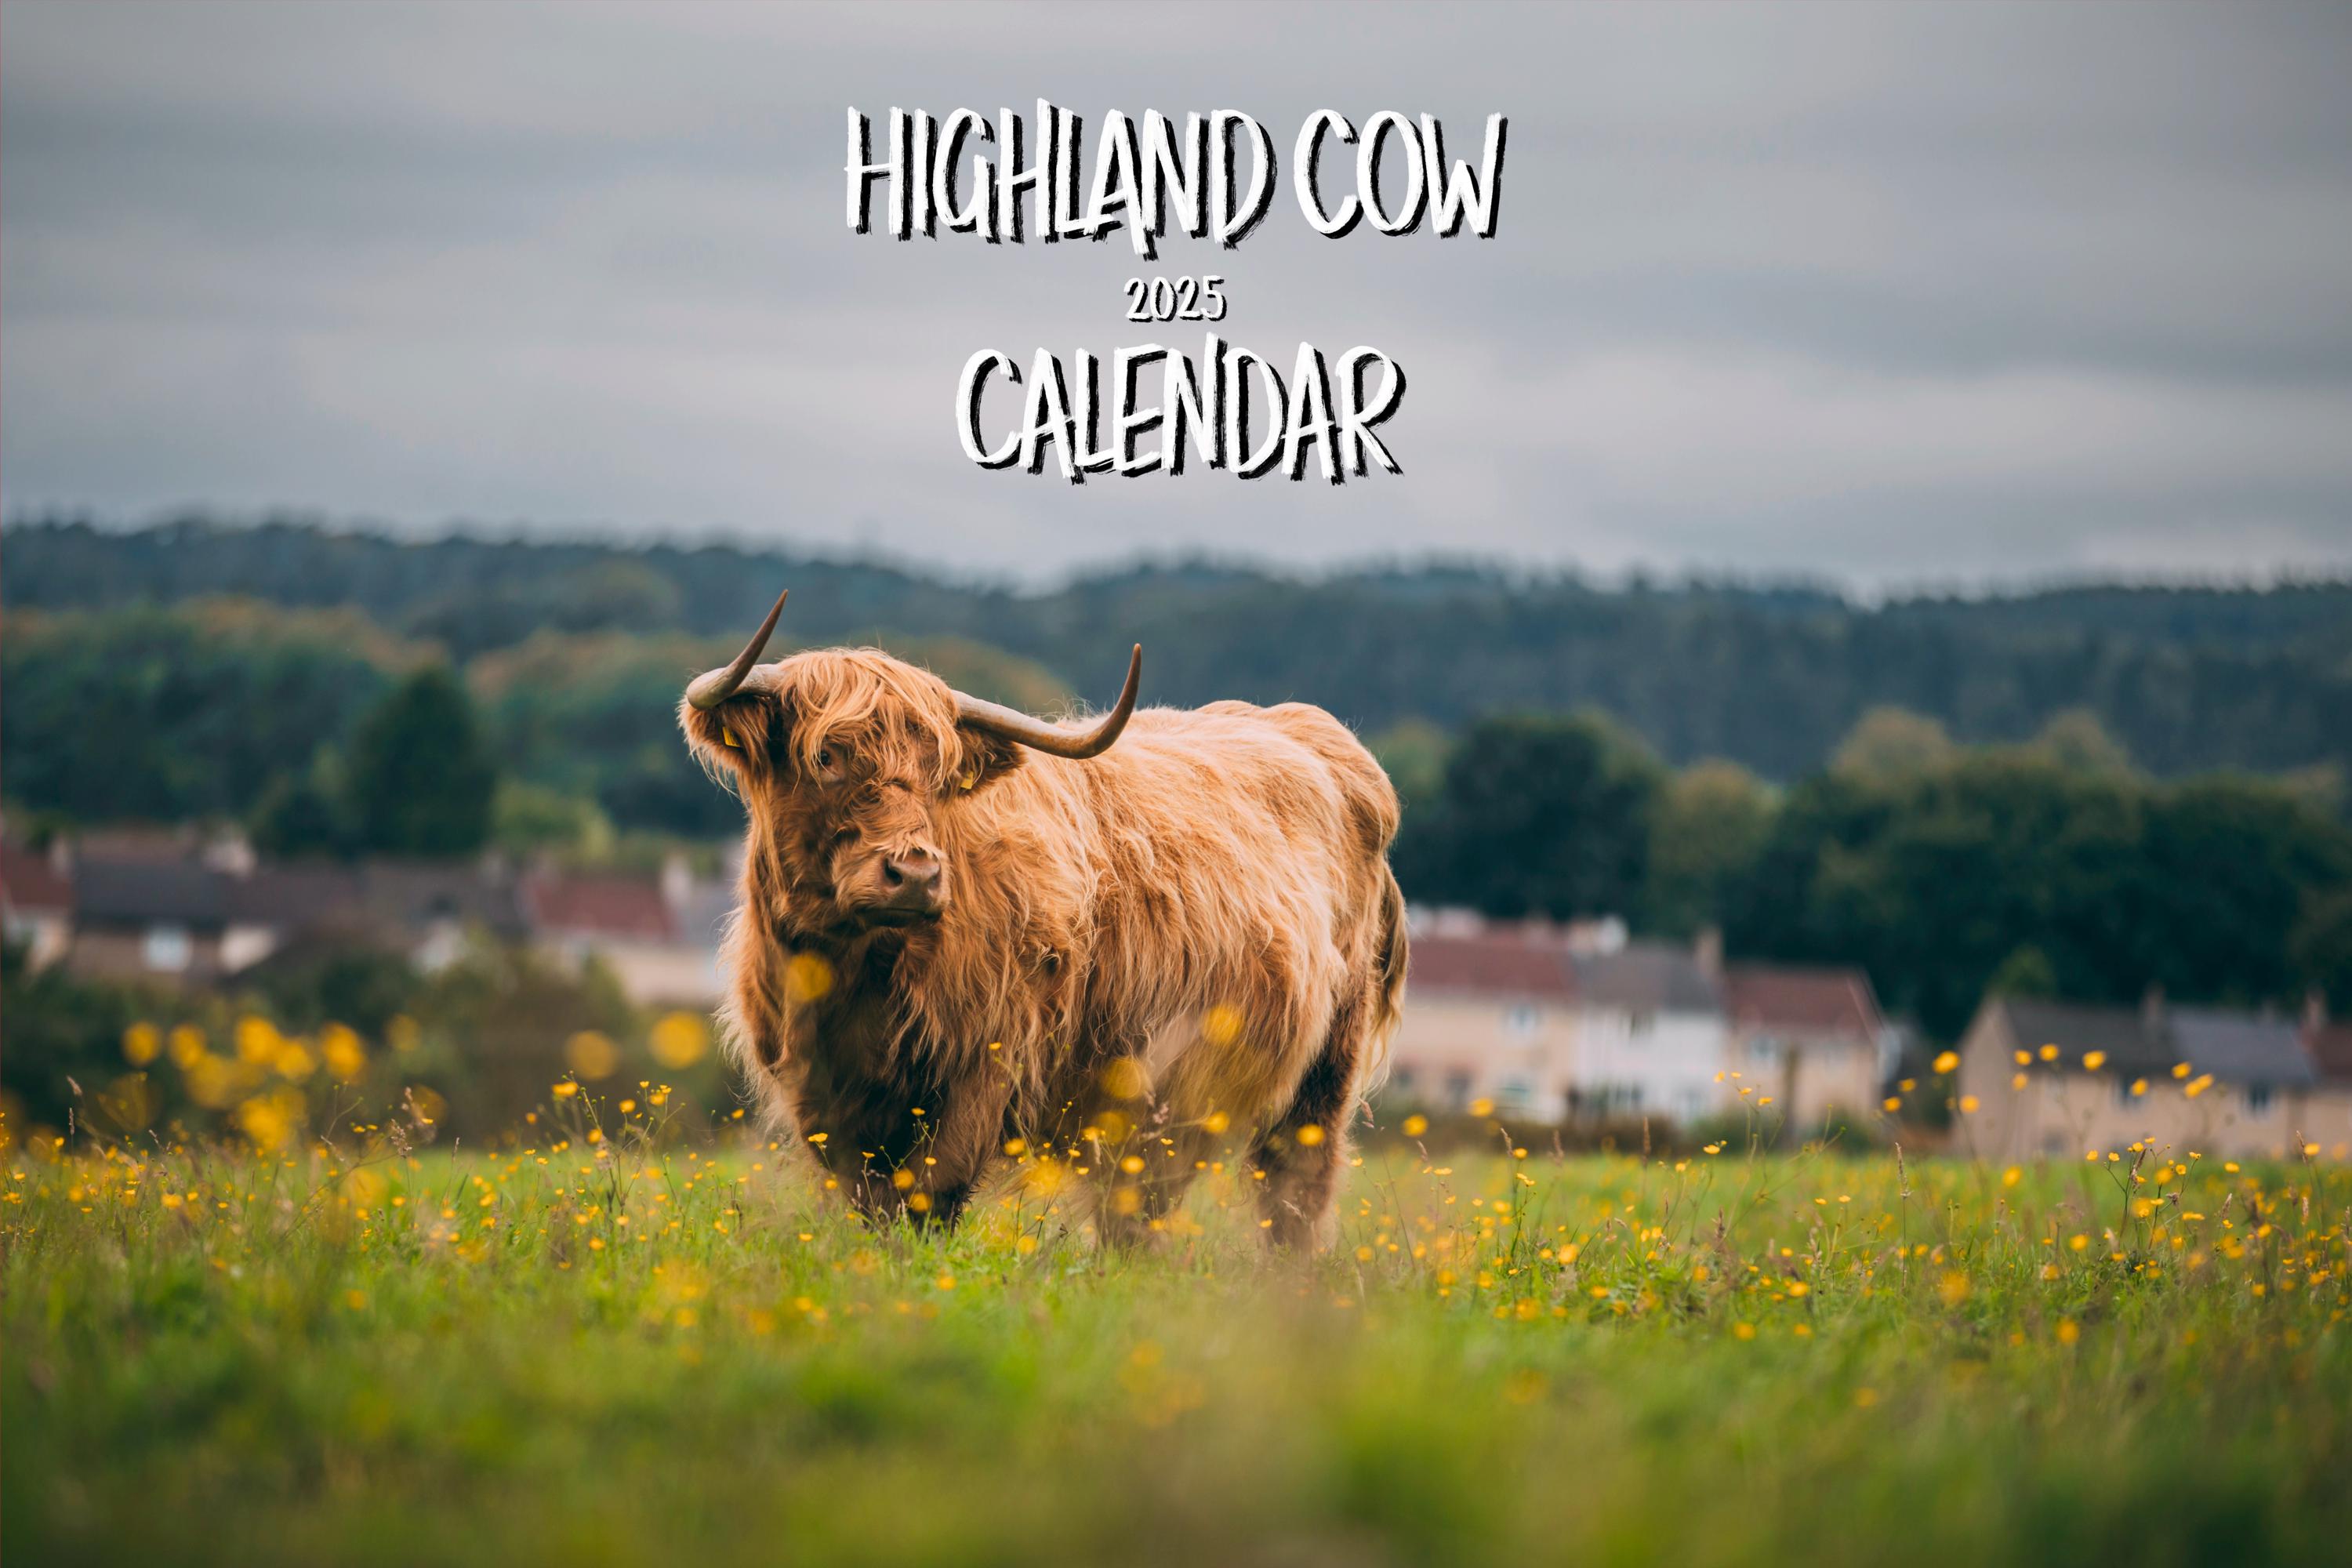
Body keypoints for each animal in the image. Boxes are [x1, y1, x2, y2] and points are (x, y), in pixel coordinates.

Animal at [677, 588, 1406, 1249]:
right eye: (825, 757)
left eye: (940, 772)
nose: (915, 874)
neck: (862, 971)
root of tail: (1309, 729)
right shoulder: (819, 1090)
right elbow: (873, 1206)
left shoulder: (990, 1062)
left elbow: (932, 1195)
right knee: (1137, 1207)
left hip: (1323, 1071)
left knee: (1295, 1192)